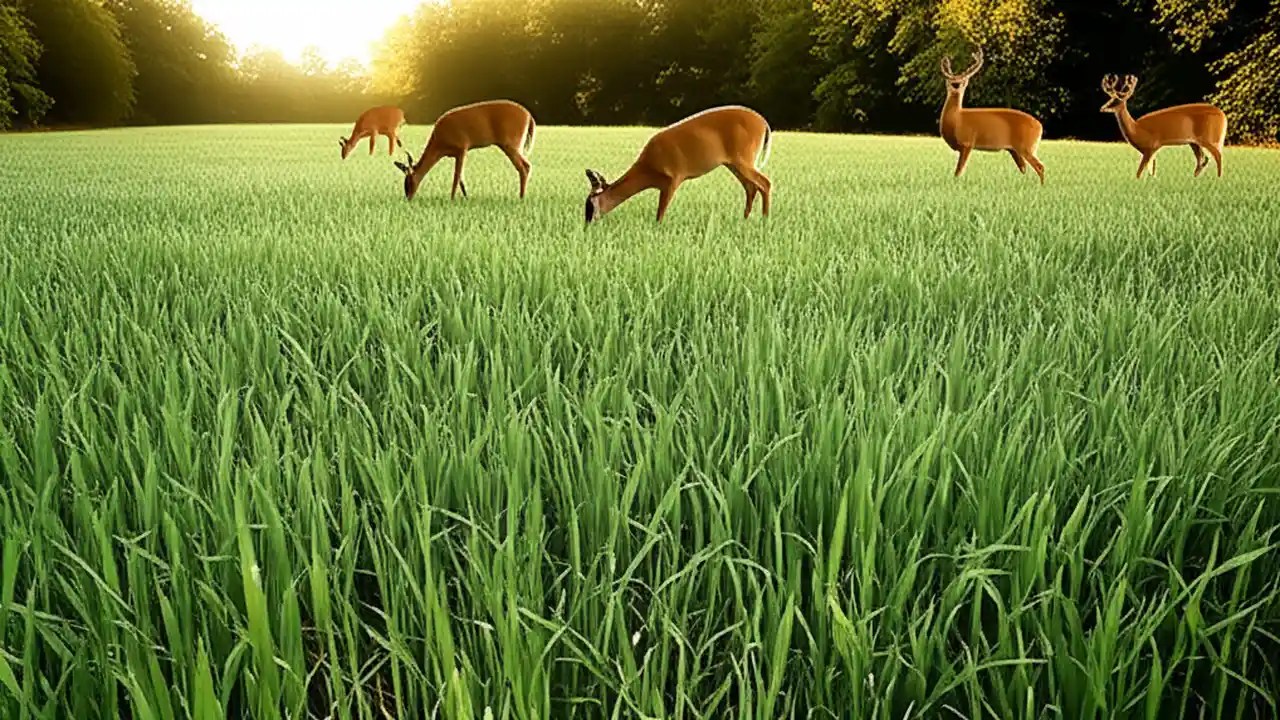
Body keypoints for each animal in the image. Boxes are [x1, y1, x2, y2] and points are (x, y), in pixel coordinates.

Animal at [392, 100, 535, 201]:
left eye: (409, 181)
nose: (408, 197)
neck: (439, 143)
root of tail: (529, 117)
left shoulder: (462, 147)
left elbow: (456, 176)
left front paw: (452, 199)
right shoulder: (455, 154)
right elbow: (460, 178)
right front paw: (466, 197)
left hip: (511, 143)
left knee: (524, 166)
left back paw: (521, 197)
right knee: (525, 165)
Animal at [583, 105, 773, 224]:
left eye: (590, 204)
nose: (587, 224)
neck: (648, 167)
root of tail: (764, 123)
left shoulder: (673, 178)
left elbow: (660, 214)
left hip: (743, 159)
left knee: (765, 183)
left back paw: (764, 220)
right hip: (734, 163)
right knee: (751, 187)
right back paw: (745, 219)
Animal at [939, 47, 1045, 184]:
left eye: (964, 82)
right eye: (948, 80)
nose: (956, 84)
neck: (956, 120)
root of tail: (1040, 126)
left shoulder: (967, 142)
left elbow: (958, 171)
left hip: (1026, 146)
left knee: (1040, 166)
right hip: (1015, 150)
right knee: (1024, 168)